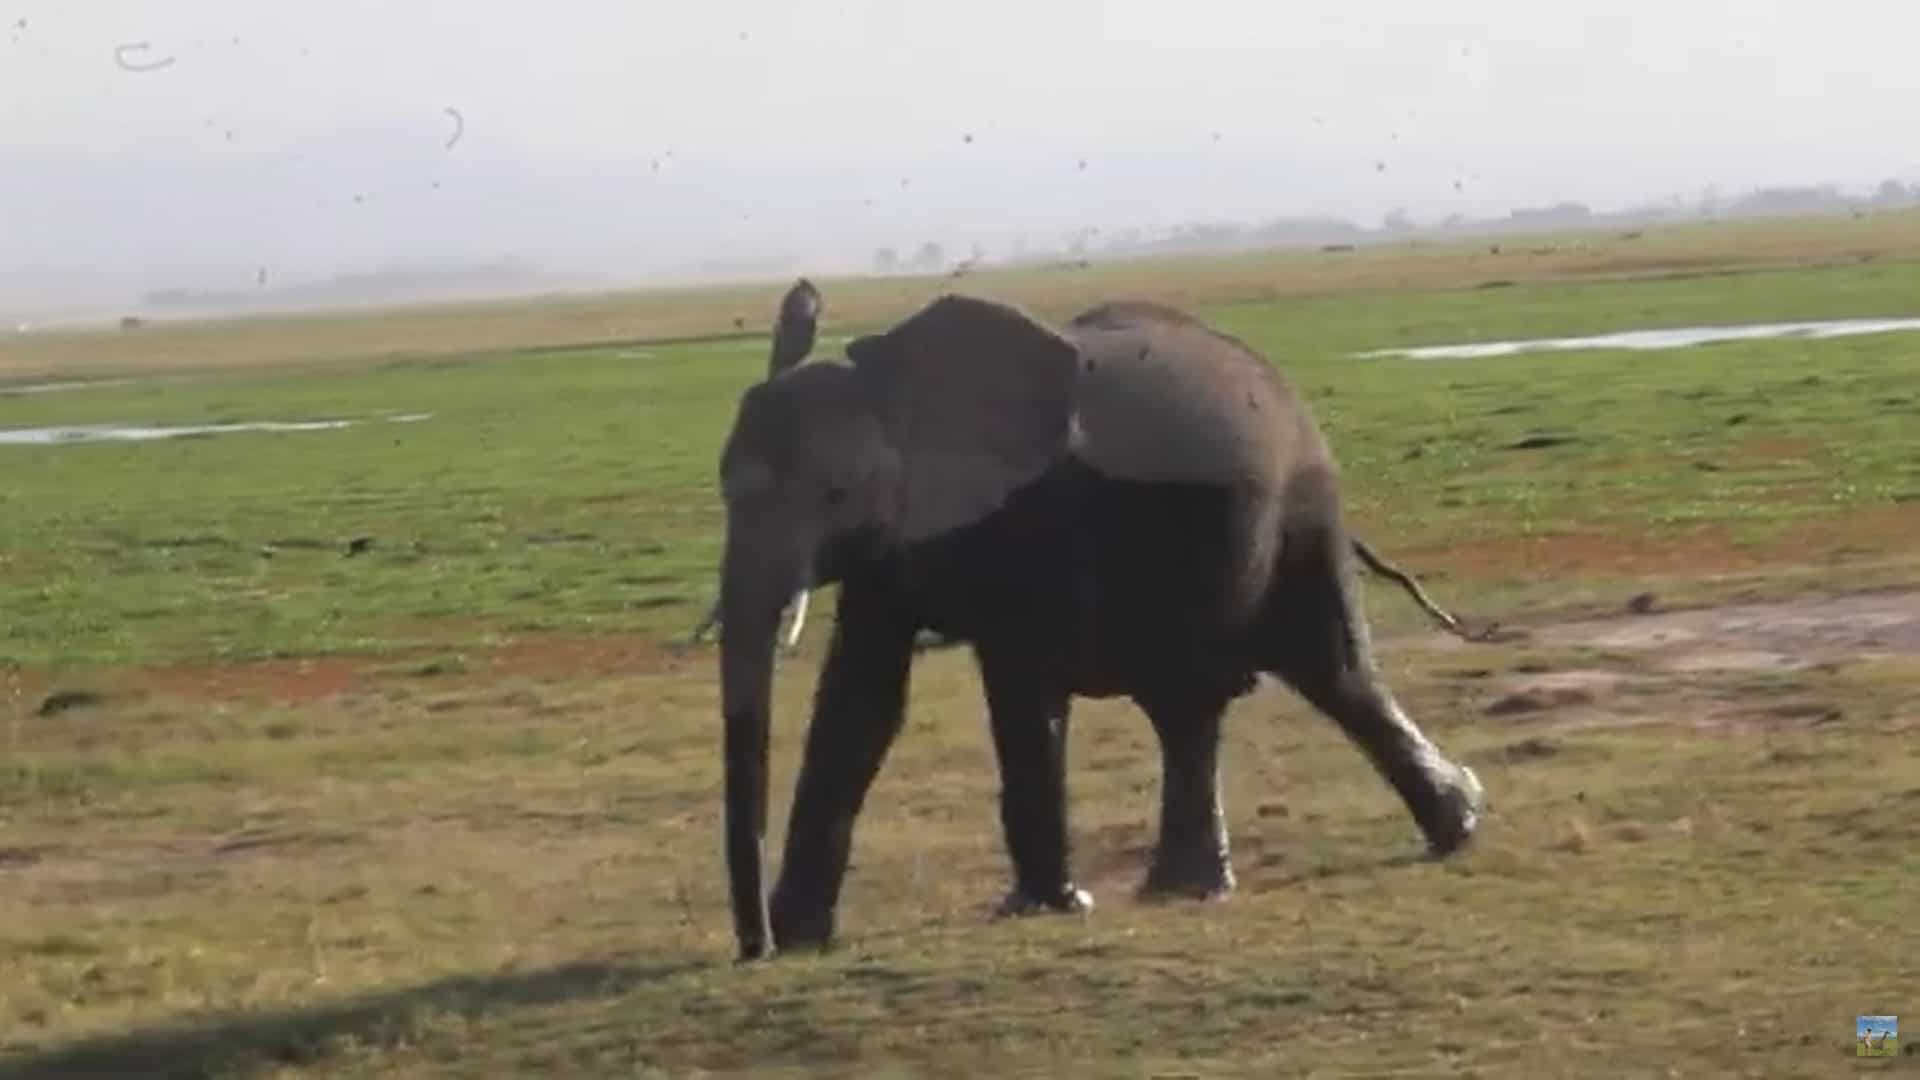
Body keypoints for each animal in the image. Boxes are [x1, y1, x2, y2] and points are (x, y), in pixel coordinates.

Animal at [715, 293, 1486, 961]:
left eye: (835, 493)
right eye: (722, 486)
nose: (755, 948)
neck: (892, 390)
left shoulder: (1032, 516)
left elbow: (1021, 691)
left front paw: (1042, 907)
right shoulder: (889, 546)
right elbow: (860, 702)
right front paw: (802, 939)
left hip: (1299, 511)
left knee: (1317, 673)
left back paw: (1455, 829)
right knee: (1211, 703)